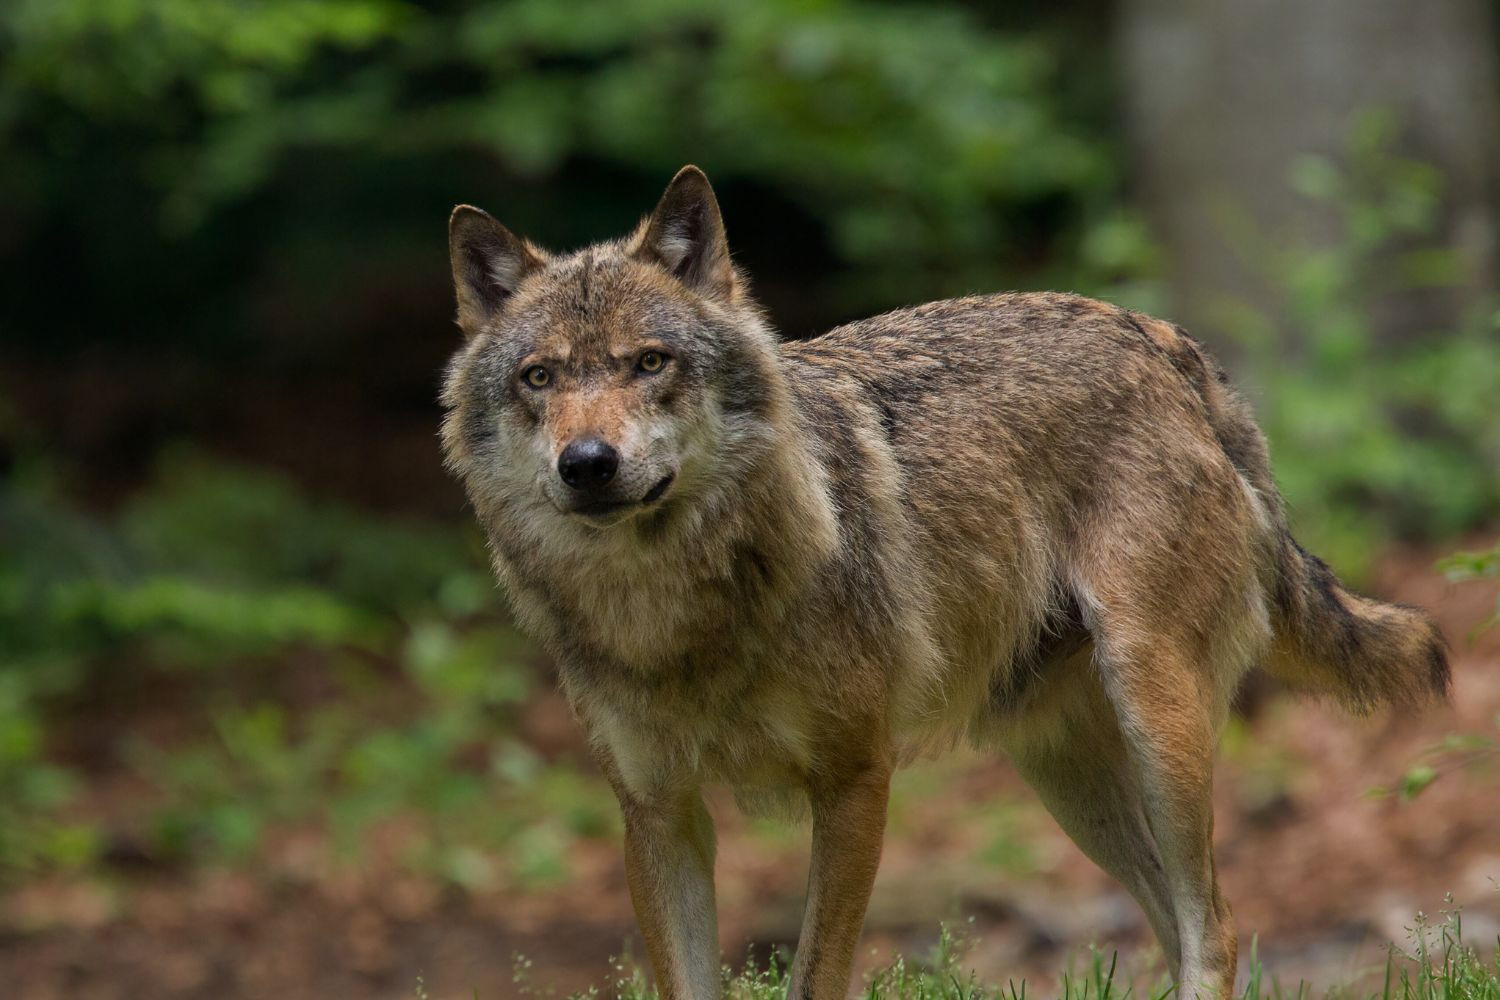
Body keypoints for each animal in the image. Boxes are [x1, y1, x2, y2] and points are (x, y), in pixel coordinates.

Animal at [440, 166, 1448, 999]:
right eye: (539, 377)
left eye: (649, 362)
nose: (587, 464)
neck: (672, 613)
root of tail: (1167, 342)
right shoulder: (657, 815)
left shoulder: (855, 781)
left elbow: (815, 975)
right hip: (1064, 777)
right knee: (1173, 922)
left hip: (1157, 721)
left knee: (1218, 927)